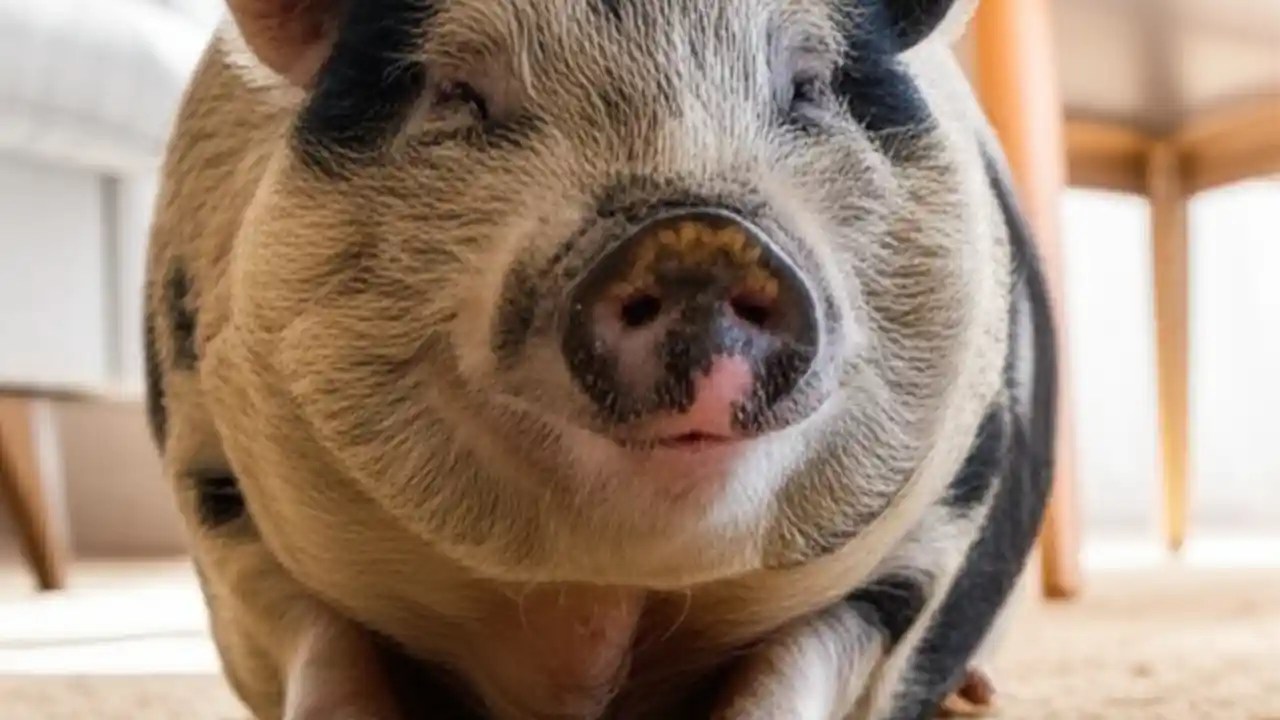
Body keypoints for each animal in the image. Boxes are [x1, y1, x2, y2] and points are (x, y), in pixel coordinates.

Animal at [142, 0, 1057, 718]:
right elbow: (323, 652)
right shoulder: (216, 498)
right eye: (458, 93)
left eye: (808, 86)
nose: (696, 239)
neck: (602, 597)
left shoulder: (930, 533)